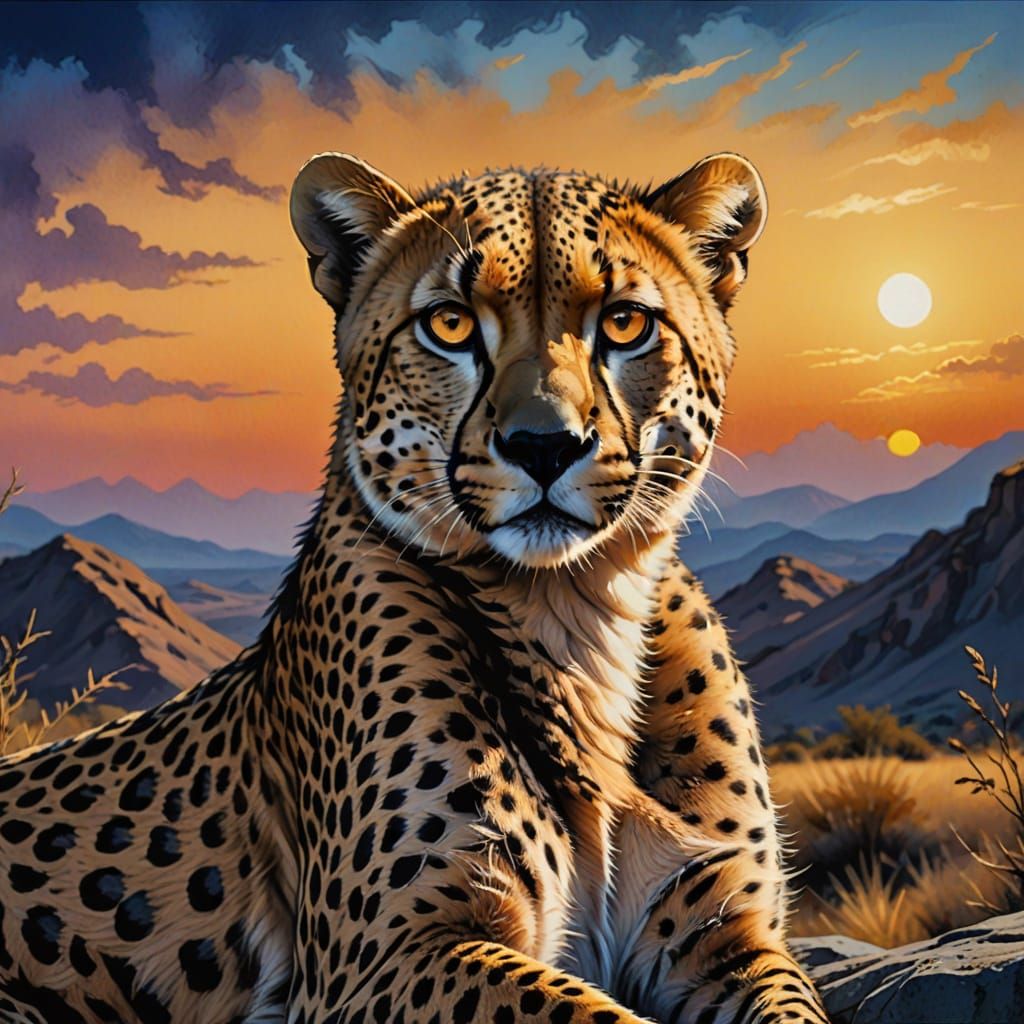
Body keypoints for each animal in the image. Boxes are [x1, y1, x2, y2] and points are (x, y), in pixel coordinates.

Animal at [0, 149, 830, 1024]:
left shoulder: (727, 939)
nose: (544, 444)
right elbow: (582, 1010)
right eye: (451, 324)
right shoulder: (385, 959)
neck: (576, 614)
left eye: (626, 323)